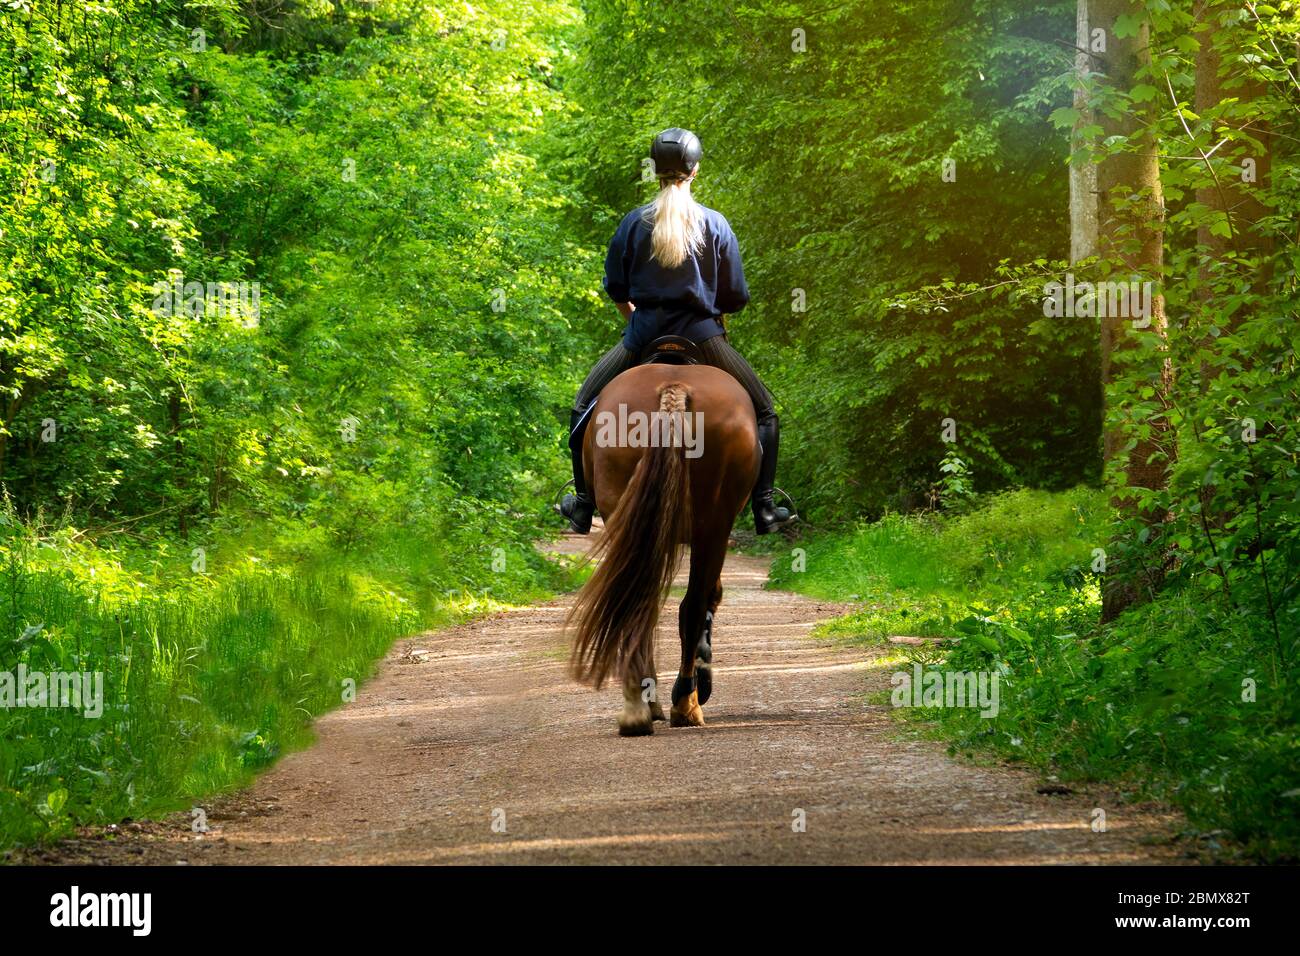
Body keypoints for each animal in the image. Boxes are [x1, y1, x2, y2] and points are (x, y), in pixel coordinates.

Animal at [565, 359, 760, 736]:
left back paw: (642, 707)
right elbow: (708, 599)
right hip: (711, 527)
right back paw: (683, 703)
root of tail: (675, 387)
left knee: (643, 602)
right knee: (687, 605)